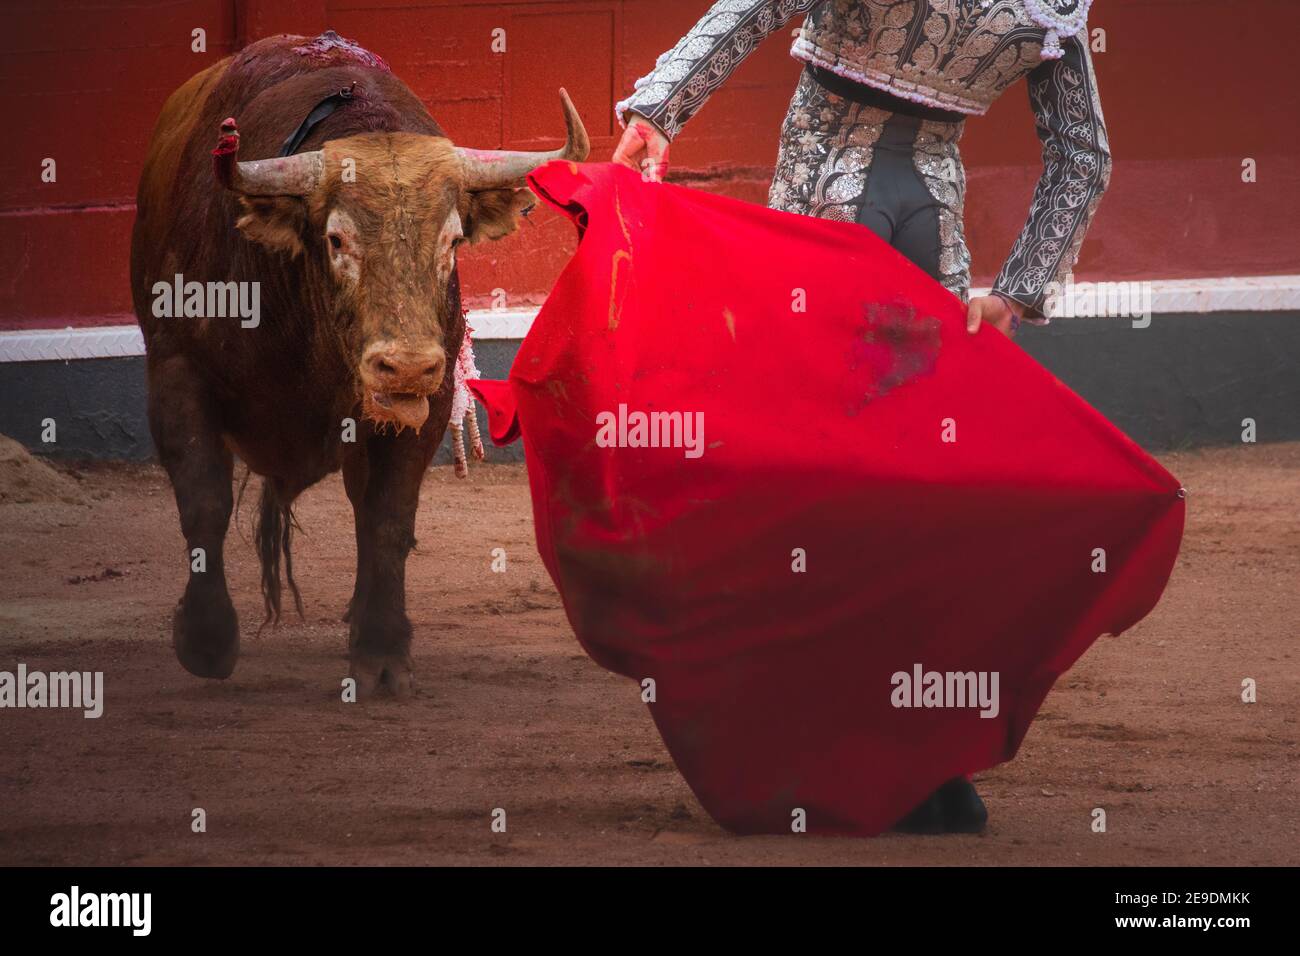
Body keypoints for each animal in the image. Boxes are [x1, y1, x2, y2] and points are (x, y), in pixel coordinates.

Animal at [130, 31, 588, 695]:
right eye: (337, 239)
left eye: (452, 240)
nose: (405, 367)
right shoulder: (177, 370)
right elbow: (204, 501)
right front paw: (206, 641)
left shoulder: (430, 398)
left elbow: (387, 516)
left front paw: (380, 652)